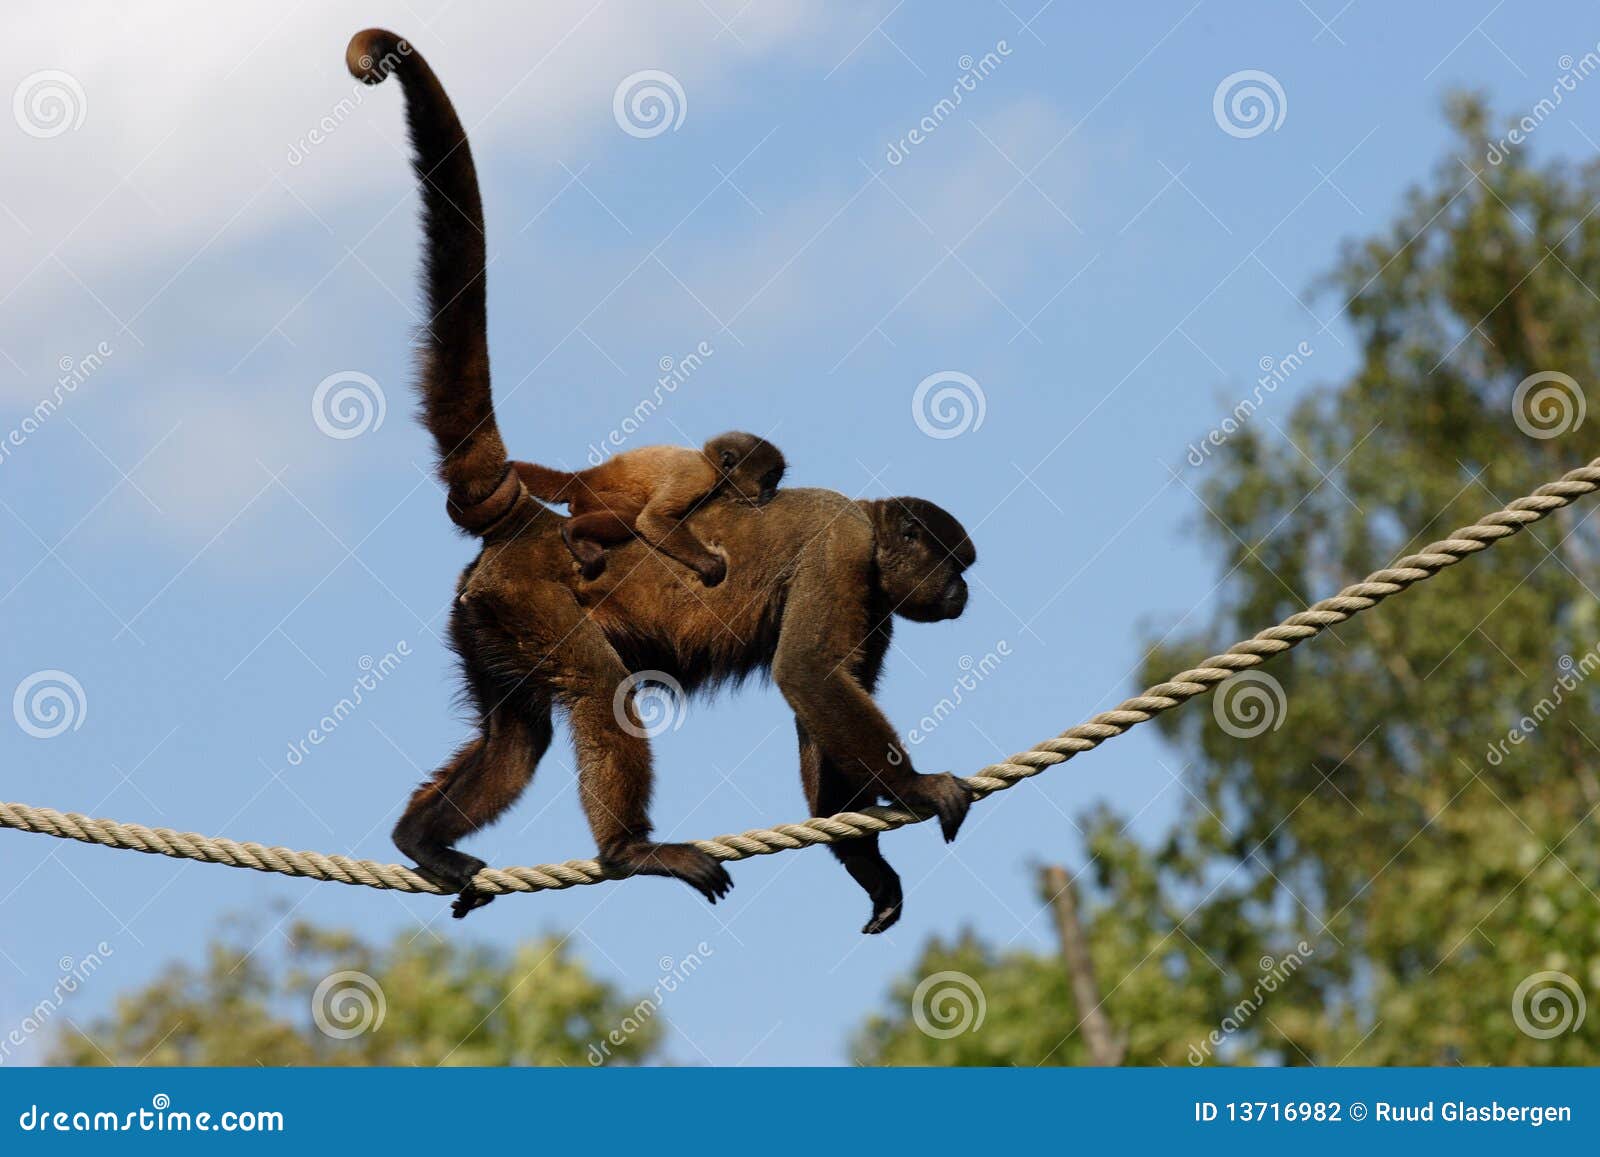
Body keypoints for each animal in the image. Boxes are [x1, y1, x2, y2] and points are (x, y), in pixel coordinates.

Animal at [512, 431, 786, 585]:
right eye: (769, 479)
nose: (772, 492)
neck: (711, 465)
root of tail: (586, 476)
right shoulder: (696, 475)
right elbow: (651, 519)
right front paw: (709, 563)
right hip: (594, 496)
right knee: (631, 516)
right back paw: (574, 532)